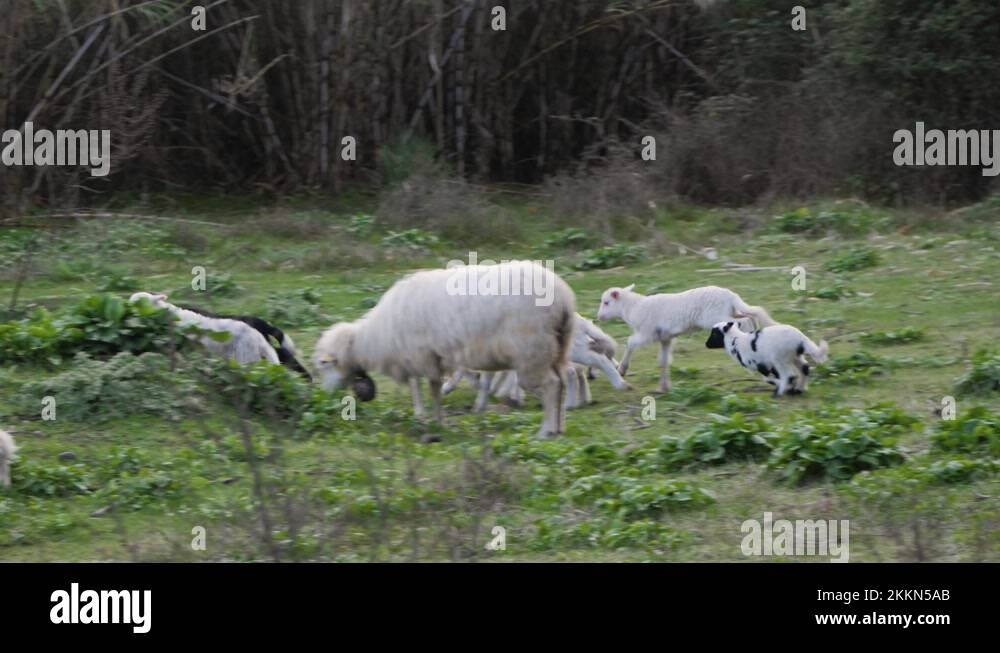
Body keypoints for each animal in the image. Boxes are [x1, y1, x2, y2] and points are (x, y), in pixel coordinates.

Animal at [313, 261, 576, 438]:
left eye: (324, 364)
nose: (325, 395)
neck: (375, 335)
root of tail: (563, 298)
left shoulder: (420, 355)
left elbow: (424, 387)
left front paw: (429, 418)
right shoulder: (429, 357)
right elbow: (433, 387)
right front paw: (436, 419)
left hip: (533, 351)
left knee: (551, 386)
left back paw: (546, 431)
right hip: (557, 349)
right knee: (562, 383)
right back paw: (560, 427)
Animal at [596, 284, 775, 392]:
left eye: (606, 302)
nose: (598, 317)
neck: (633, 308)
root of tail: (730, 295)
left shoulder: (647, 333)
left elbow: (630, 342)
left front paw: (622, 369)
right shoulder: (665, 338)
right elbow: (663, 361)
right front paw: (664, 387)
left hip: (716, 316)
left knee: (742, 321)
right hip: (730, 311)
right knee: (750, 316)